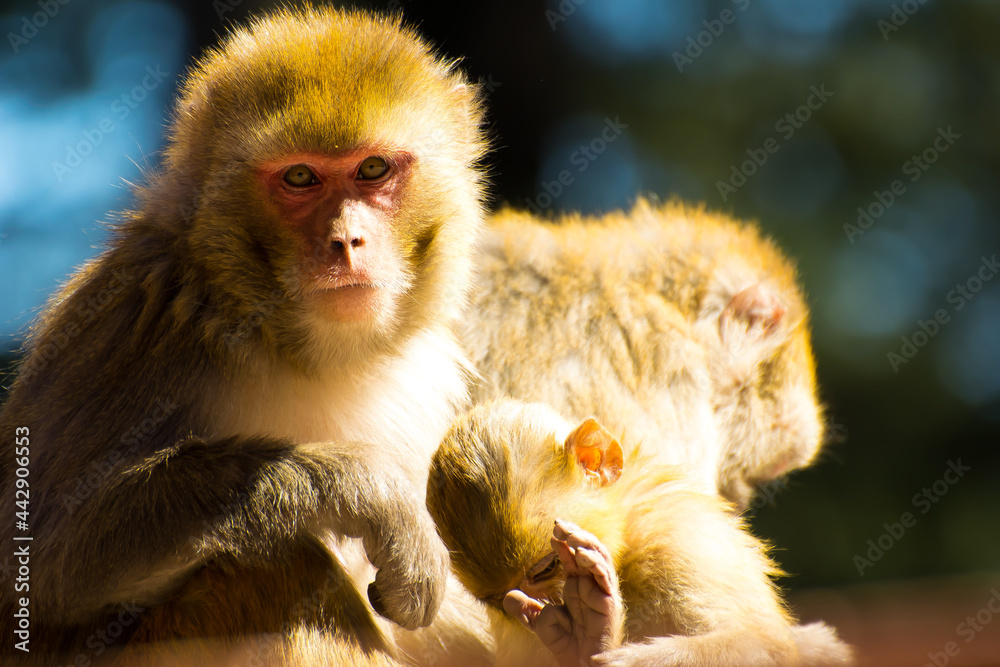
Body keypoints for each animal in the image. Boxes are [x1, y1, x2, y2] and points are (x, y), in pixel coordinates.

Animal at [0, 7, 494, 666]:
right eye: (300, 177)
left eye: (372, 169)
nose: (346, 241)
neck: (295, 346)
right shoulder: (140, 321)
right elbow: (39, 565)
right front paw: (369, 489)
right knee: (276, 567)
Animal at [427, 399, 853, 667]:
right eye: (498, 602)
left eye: (545, 568)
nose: (552, 604)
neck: (628, 550)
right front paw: (582, 638)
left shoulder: (681, 542)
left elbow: (767, 647)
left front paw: (592, 635)